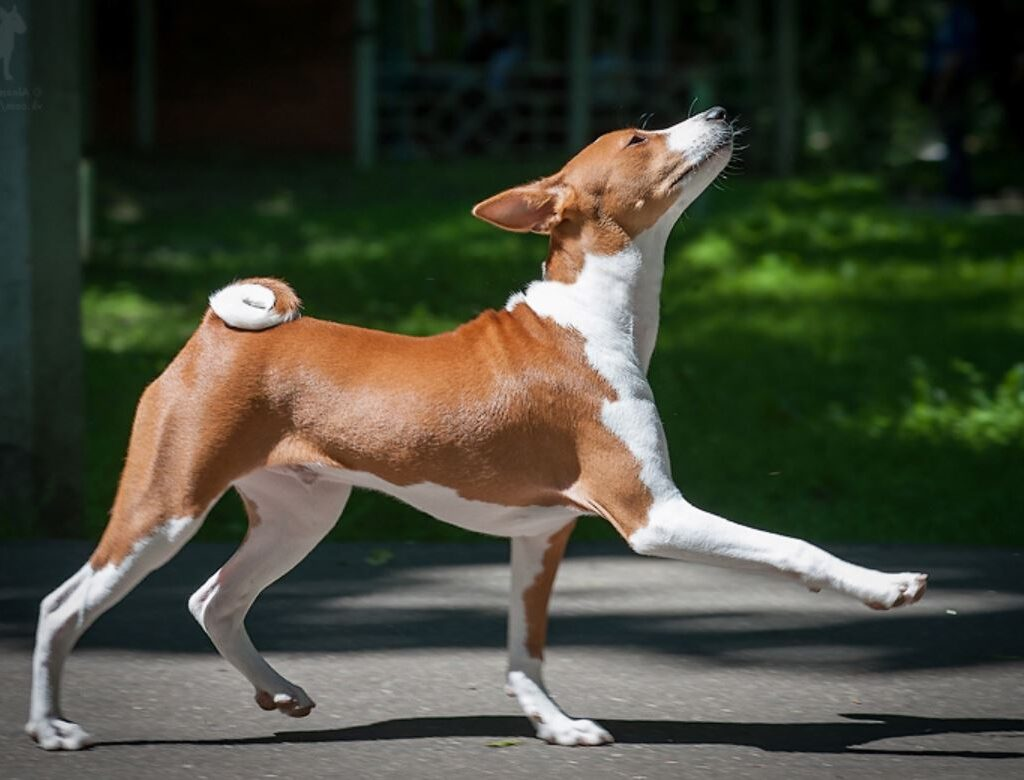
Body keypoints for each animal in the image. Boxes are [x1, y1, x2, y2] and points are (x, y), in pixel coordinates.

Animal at [25, 107, 929, 749]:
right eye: (640, 136)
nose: (717, 109)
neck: (594, 320)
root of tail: (215, 333)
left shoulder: (543, 533)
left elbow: (525, 650)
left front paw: (554, 724)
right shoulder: (652, 516)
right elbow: (793, 549)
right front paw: (884, 586)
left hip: (300, 515)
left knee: (215, 599)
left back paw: (277, 688)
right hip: (165, 505)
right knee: (62, 602)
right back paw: (50, 726)